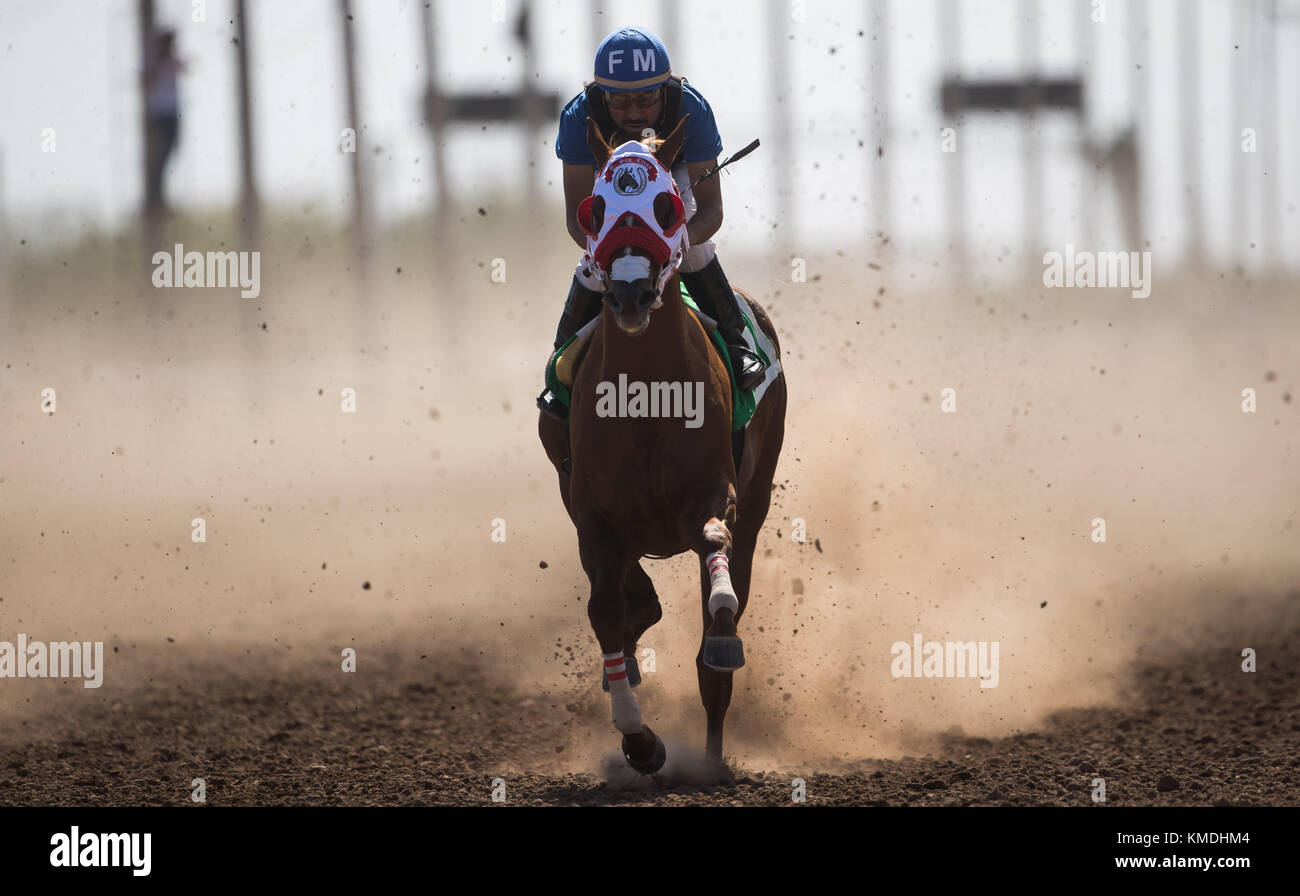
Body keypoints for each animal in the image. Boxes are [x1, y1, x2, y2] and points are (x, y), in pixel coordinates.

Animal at [538, 117, 787, 776]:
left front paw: (719, 623)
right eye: (597, 208)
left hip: (760, 495)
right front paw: (638, 739)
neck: (647, 397)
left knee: (719, 622)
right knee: (633, 607)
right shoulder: (593, 516)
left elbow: (714, 546)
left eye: (667, 206)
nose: (627, 294)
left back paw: (714, 751)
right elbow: (605, 612)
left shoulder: (716, 490)